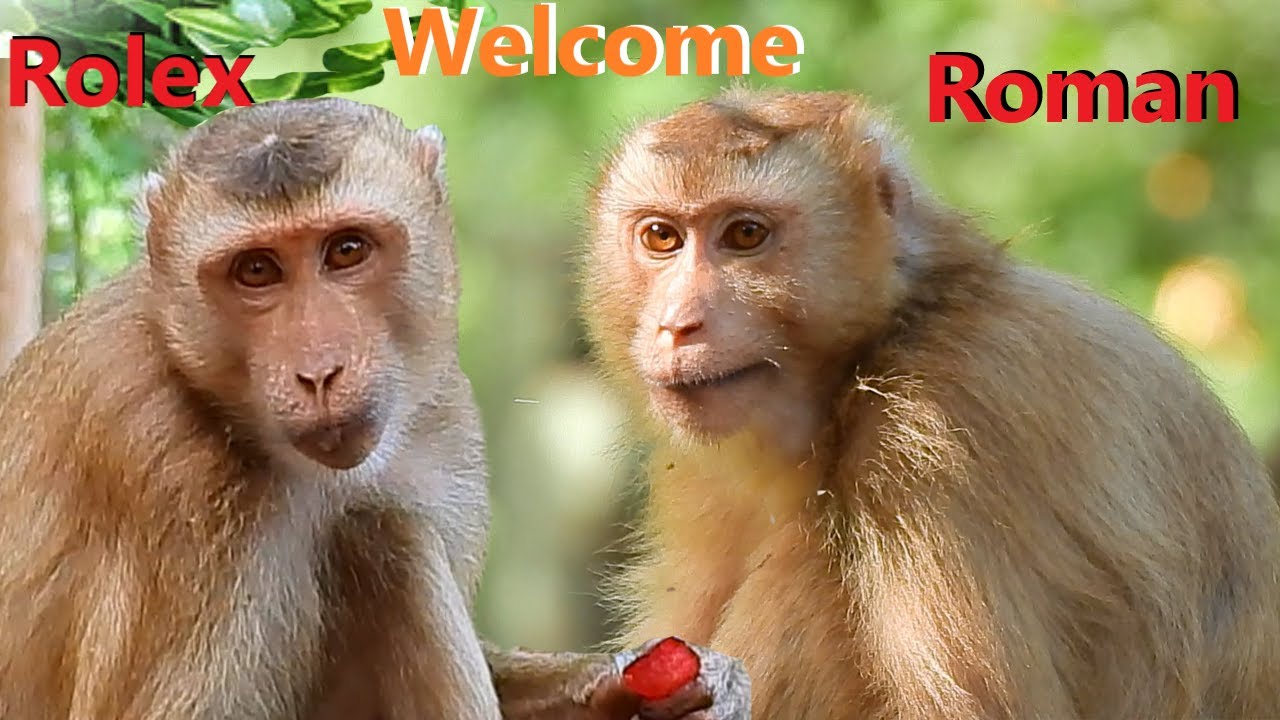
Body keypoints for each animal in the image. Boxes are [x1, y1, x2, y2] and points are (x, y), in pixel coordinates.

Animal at [0, 95, 747, 720]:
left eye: (347, 250)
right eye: (256, 270)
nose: (318, 372)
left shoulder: (444, 413)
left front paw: (657, 684)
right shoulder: (166, 473)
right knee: (383, 535)